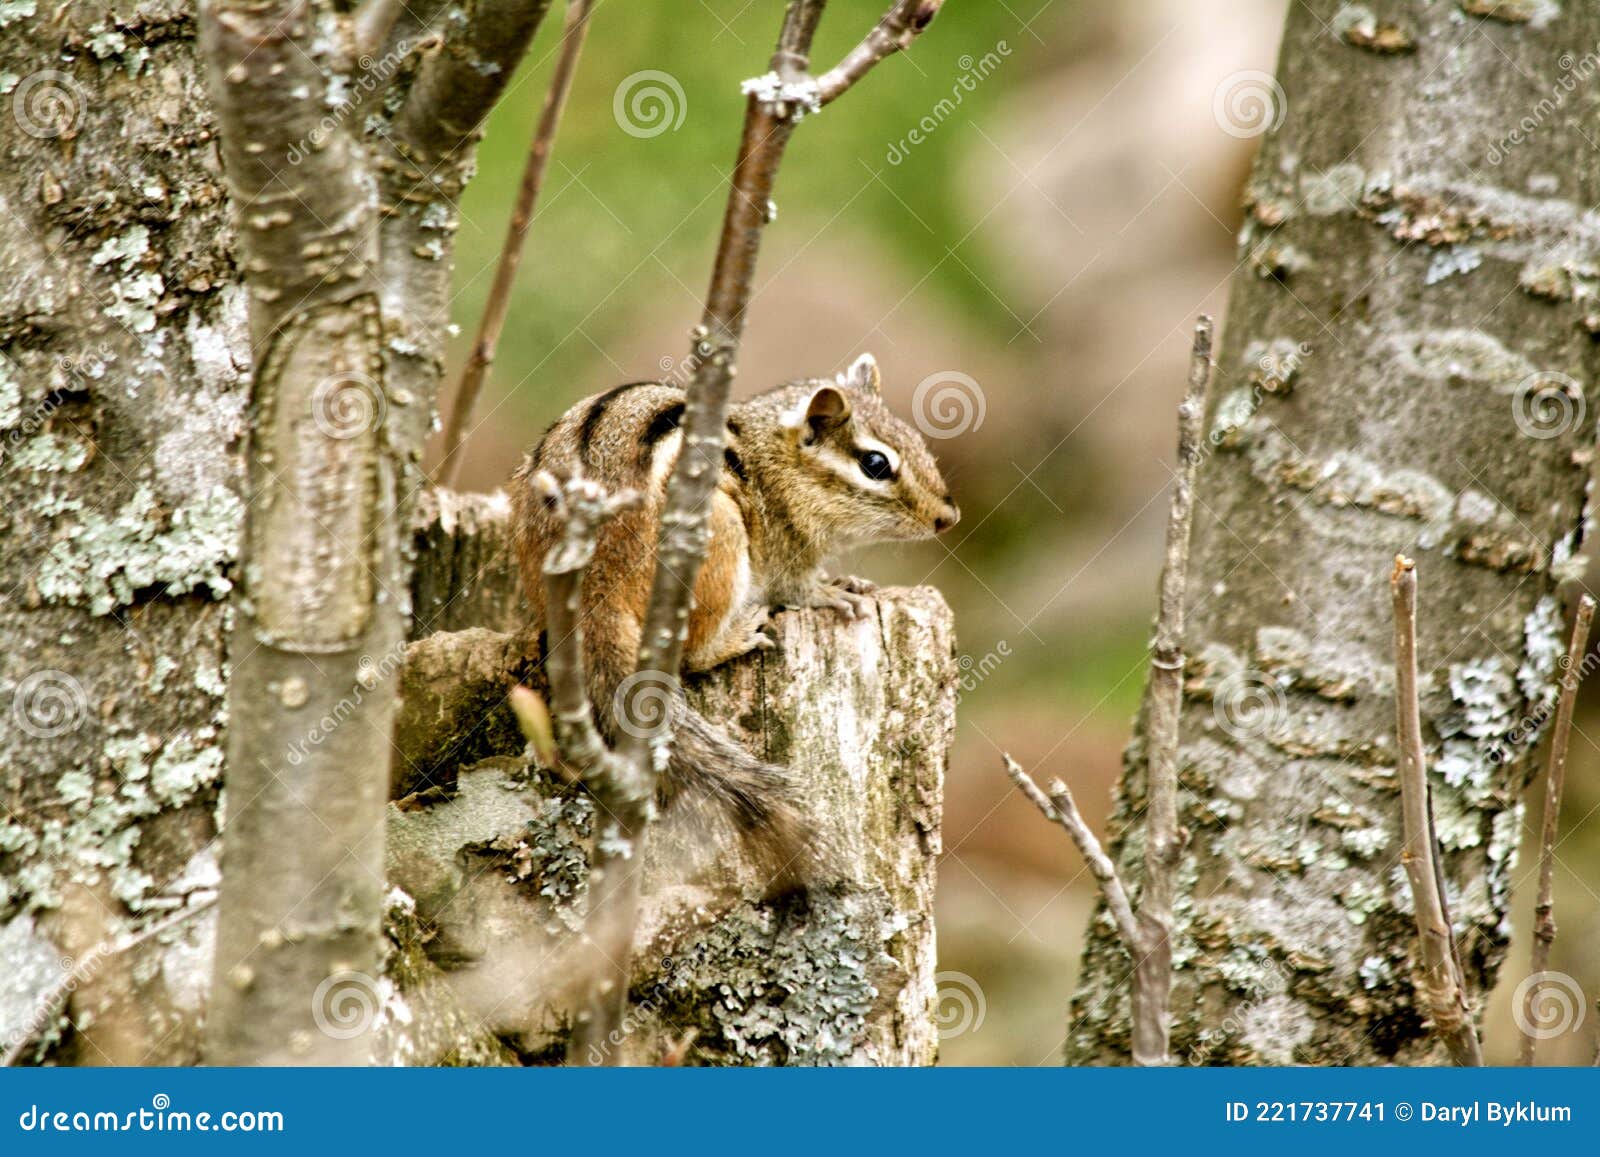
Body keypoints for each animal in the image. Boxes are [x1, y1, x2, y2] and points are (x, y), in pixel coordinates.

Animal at [510, 353, 959, 890]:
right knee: (692, 655)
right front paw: (831, 594)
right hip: (718, 535)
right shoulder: (786, 546)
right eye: (876, 464)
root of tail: (595, 579)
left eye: (917, 442)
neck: (773, 455)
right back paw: (740, 635)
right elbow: (797, 587)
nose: (948, 517)